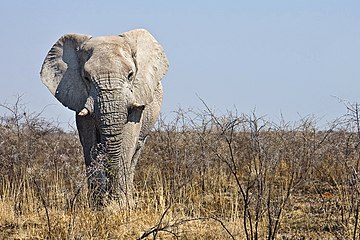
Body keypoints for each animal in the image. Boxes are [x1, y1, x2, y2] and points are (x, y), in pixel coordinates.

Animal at [40, 29, 169, 207]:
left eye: (130, 75)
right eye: (86, 78)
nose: (110, 197)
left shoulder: (137, 96)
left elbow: (127, 140)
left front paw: (120, 206)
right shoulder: (80, 97)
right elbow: (90, 143)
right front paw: (99, 206)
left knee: (136, 151)